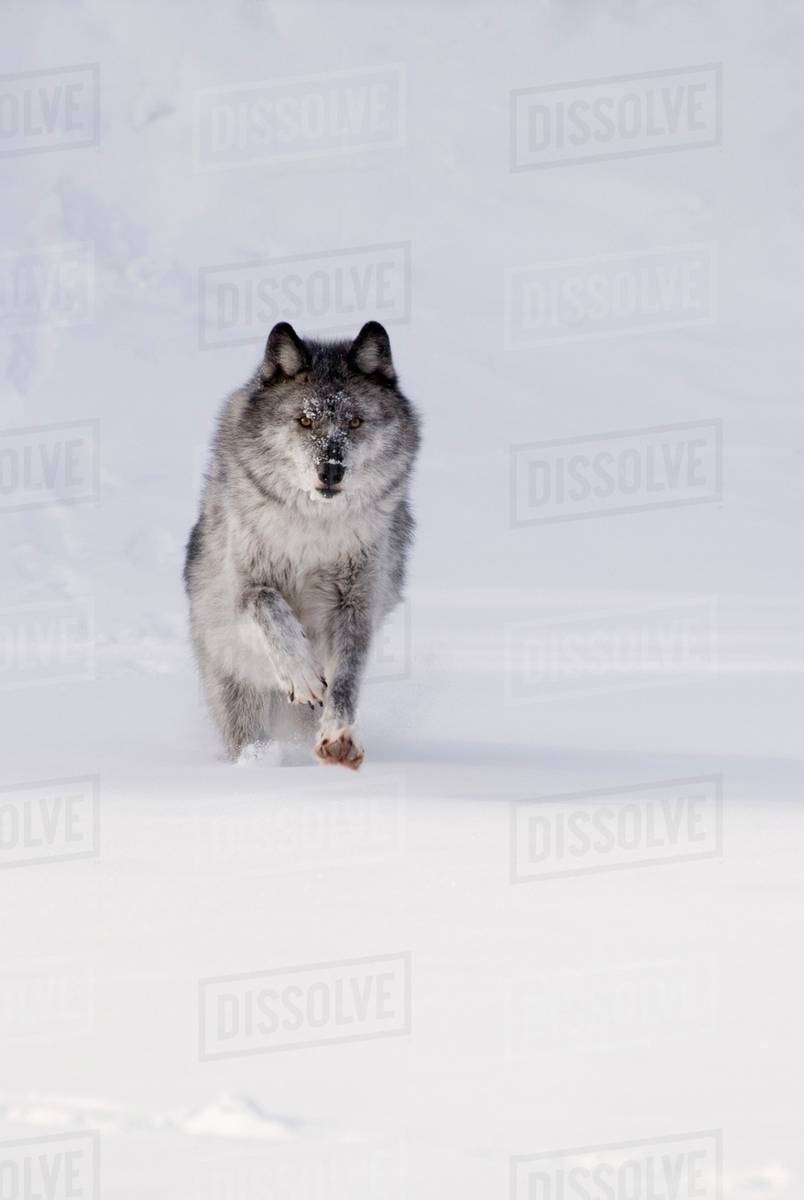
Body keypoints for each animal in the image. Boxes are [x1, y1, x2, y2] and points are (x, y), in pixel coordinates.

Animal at [184, 320, 420, 770]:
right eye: (305, 420)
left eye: (355, 421)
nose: (332, 470)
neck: (314, 528)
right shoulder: (245, 590)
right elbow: (270, 606)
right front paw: (304, 675)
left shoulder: (356, 605)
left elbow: (344, 680)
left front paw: (339, 736)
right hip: (237, 685)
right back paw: (257, 761)